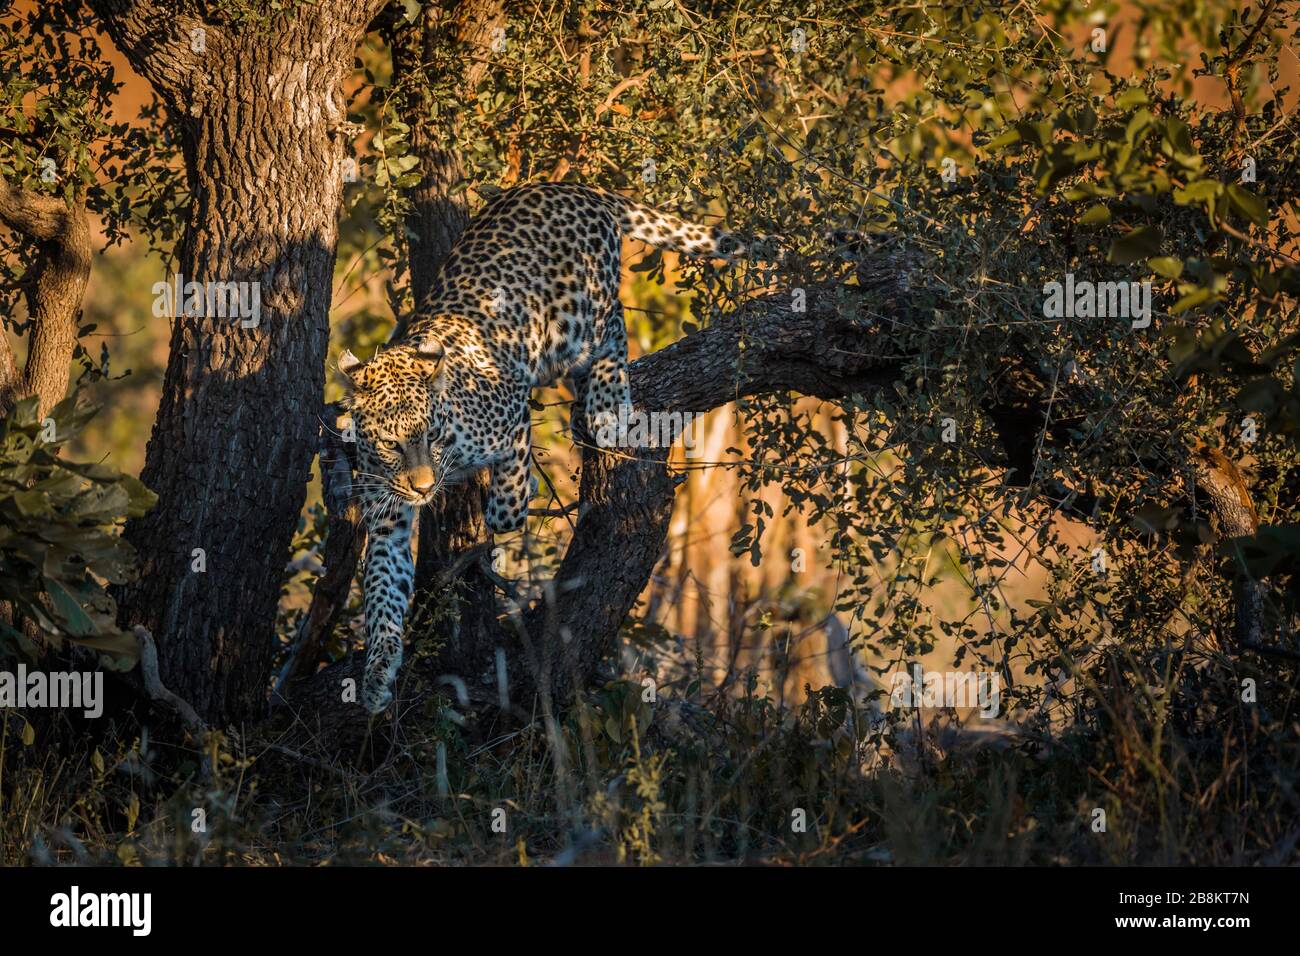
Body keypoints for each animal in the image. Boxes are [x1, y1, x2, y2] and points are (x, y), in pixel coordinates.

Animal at [338, 182, 754, 714]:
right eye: (391, 443)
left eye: (430, 435)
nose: (424, 488)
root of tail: (580, 188)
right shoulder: (388, 515)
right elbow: (381, 590)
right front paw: (376, 673)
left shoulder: (511, 400)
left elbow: (507, 505)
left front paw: (513, 501)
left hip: (577, 320)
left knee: (614, 326)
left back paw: (606, 403)